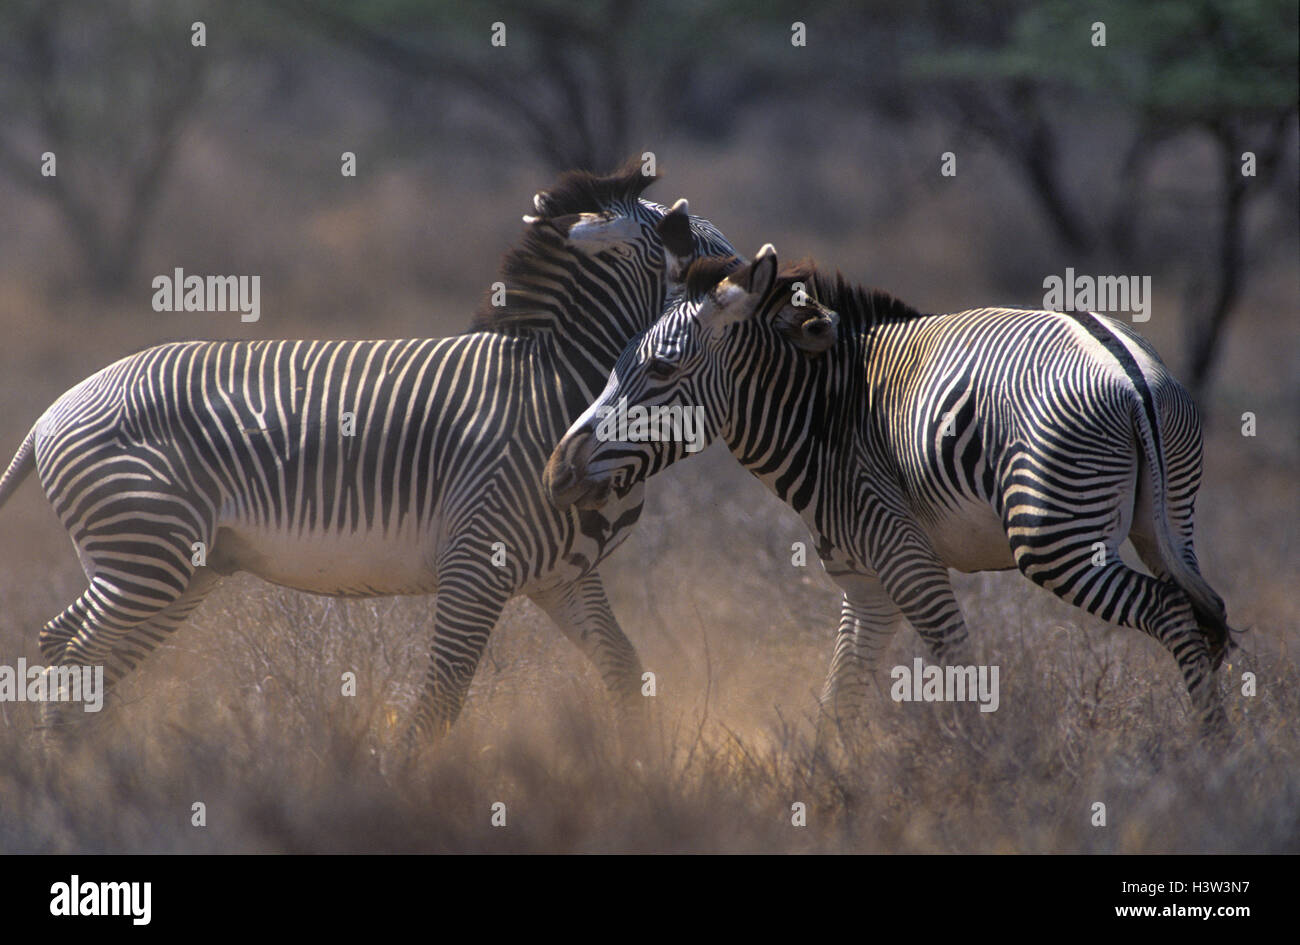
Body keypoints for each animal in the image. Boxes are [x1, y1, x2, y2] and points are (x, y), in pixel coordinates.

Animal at [0, 161, 736, 741]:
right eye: (702, 256)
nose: (765, 299)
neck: (556, 387)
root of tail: (49, 413)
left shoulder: (565, 576)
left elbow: (625, 672)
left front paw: (638, 770)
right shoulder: (476, 563)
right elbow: (440, 699)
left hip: (175, 567)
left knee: (71, 648)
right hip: (146, 556)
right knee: (75, 659)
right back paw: (75, 785)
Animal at [544, 216, 1236, 736]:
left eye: (660, 370)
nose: (556, 473)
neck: (826, 412)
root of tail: (1125, 368)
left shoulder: (905, 558)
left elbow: (956, 669)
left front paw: (979, 769)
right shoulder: (865, 583)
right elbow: (838, 699)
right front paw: (827, 791)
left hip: (1056, 539)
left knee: (1172, 611)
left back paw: (1205, 756)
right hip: (1169, 525)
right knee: (1205, 616)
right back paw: (1218, 757)